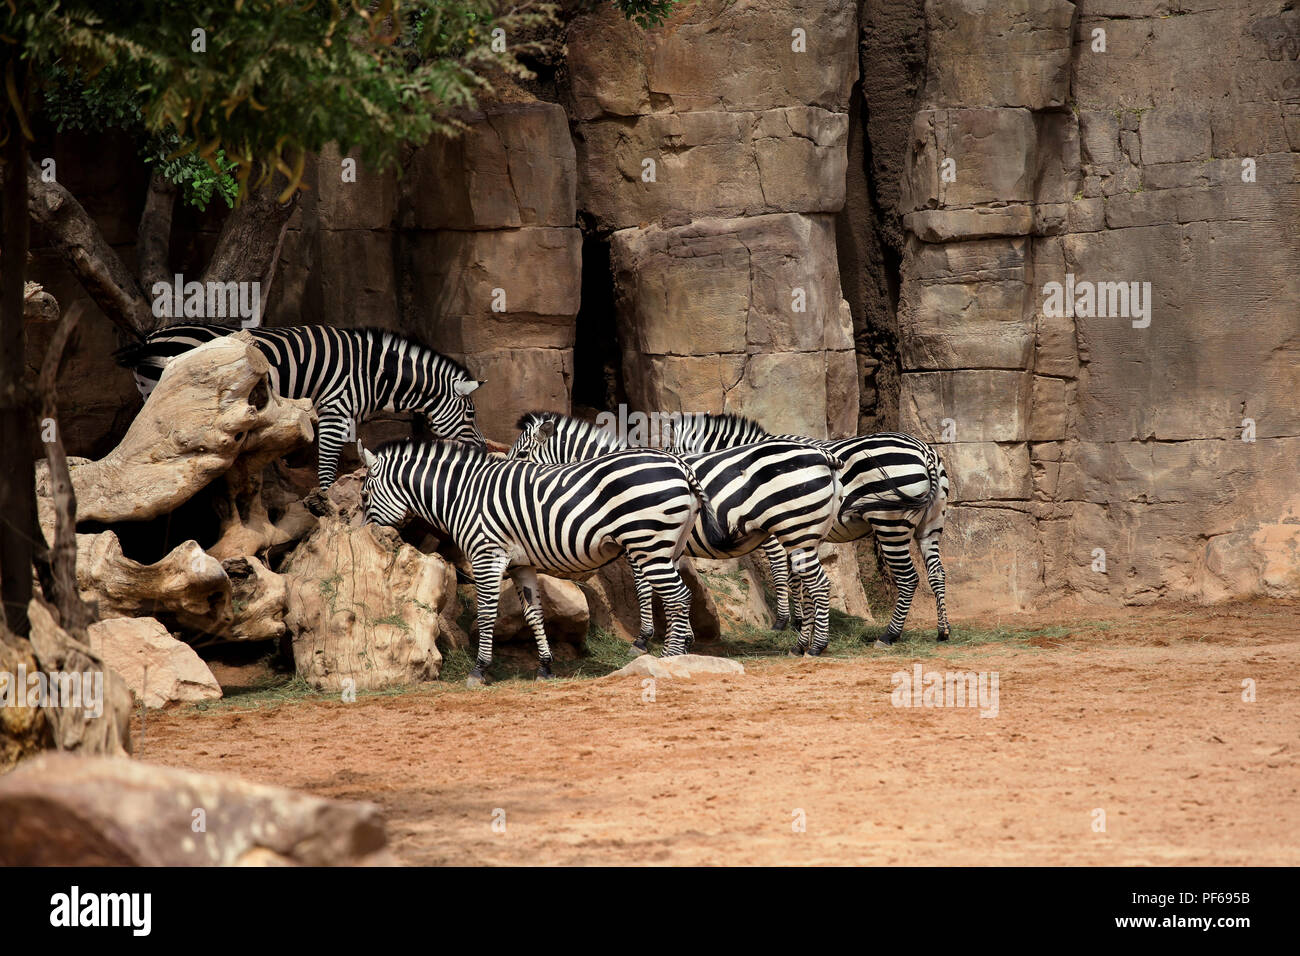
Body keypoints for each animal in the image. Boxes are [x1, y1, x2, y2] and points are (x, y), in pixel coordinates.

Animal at [114, 324, 486, 488]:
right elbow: (327, 465)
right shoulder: (336, 407)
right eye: (471, 414)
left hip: (153, 395)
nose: (483, 448)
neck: (373, 373)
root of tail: (151, 337)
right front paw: (326, 506)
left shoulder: (343, 416)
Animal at [359, 439, 737, 684]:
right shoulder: (521, 565)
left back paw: (670, 656)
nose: (365, 534)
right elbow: (534, 614)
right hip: (668, 545)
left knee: (678, 596)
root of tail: (679, 464)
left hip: (649, 543)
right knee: (678, 594)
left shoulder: (487, 555)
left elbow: (487, 613)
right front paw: (544, 666)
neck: (462, 496)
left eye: (364, 495)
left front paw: (479, 669)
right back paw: (682, 653)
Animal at [507, 412, 846, 655]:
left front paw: (645, 639)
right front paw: (684, 638)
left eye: (522, 454)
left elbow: (647, 588)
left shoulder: (641, 543)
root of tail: (823, 455)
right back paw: (803, 638)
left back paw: (810, 642)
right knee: (806, 579)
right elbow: (674, 588)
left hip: (791, 527)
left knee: (811, 580)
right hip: (801, 532)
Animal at [668, 416, 951, 649]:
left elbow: (783, 573)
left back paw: (889, 636)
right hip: (930, 524)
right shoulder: (793, 530)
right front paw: (804, 622)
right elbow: (799, 577)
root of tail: (924, 449)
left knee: (909, 578)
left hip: (890, 523)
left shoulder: (777, 533)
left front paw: (787, 621)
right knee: (937, 573)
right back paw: (943, 630)